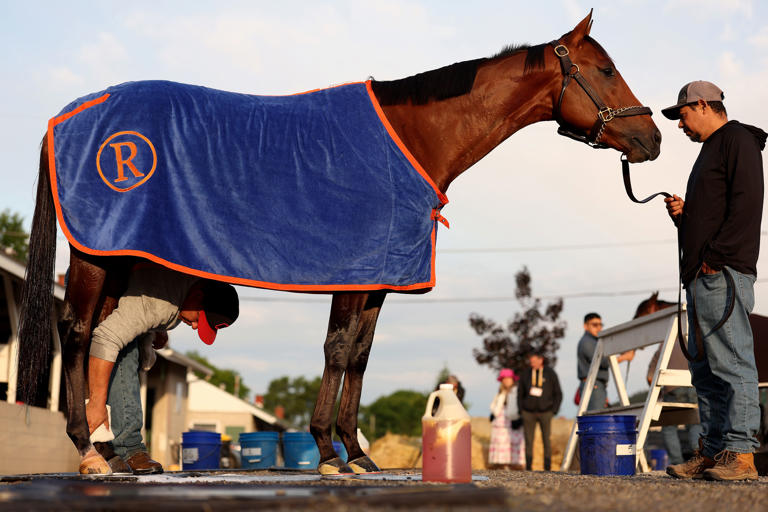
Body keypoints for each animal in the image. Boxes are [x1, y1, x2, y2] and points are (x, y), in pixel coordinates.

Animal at [18, 11, 661, 475]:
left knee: (111, 341)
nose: (651, 138)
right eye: (605, 70)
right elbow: (336, 350)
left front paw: (357, 453)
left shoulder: (378, 277)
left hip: (120, 258)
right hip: (94, 256)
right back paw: (88, 452)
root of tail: (65, 118)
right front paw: (328, 454)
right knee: (76, 334)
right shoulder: (353, 271)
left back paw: (122, 456)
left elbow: (359, 356)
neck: (410, 138)